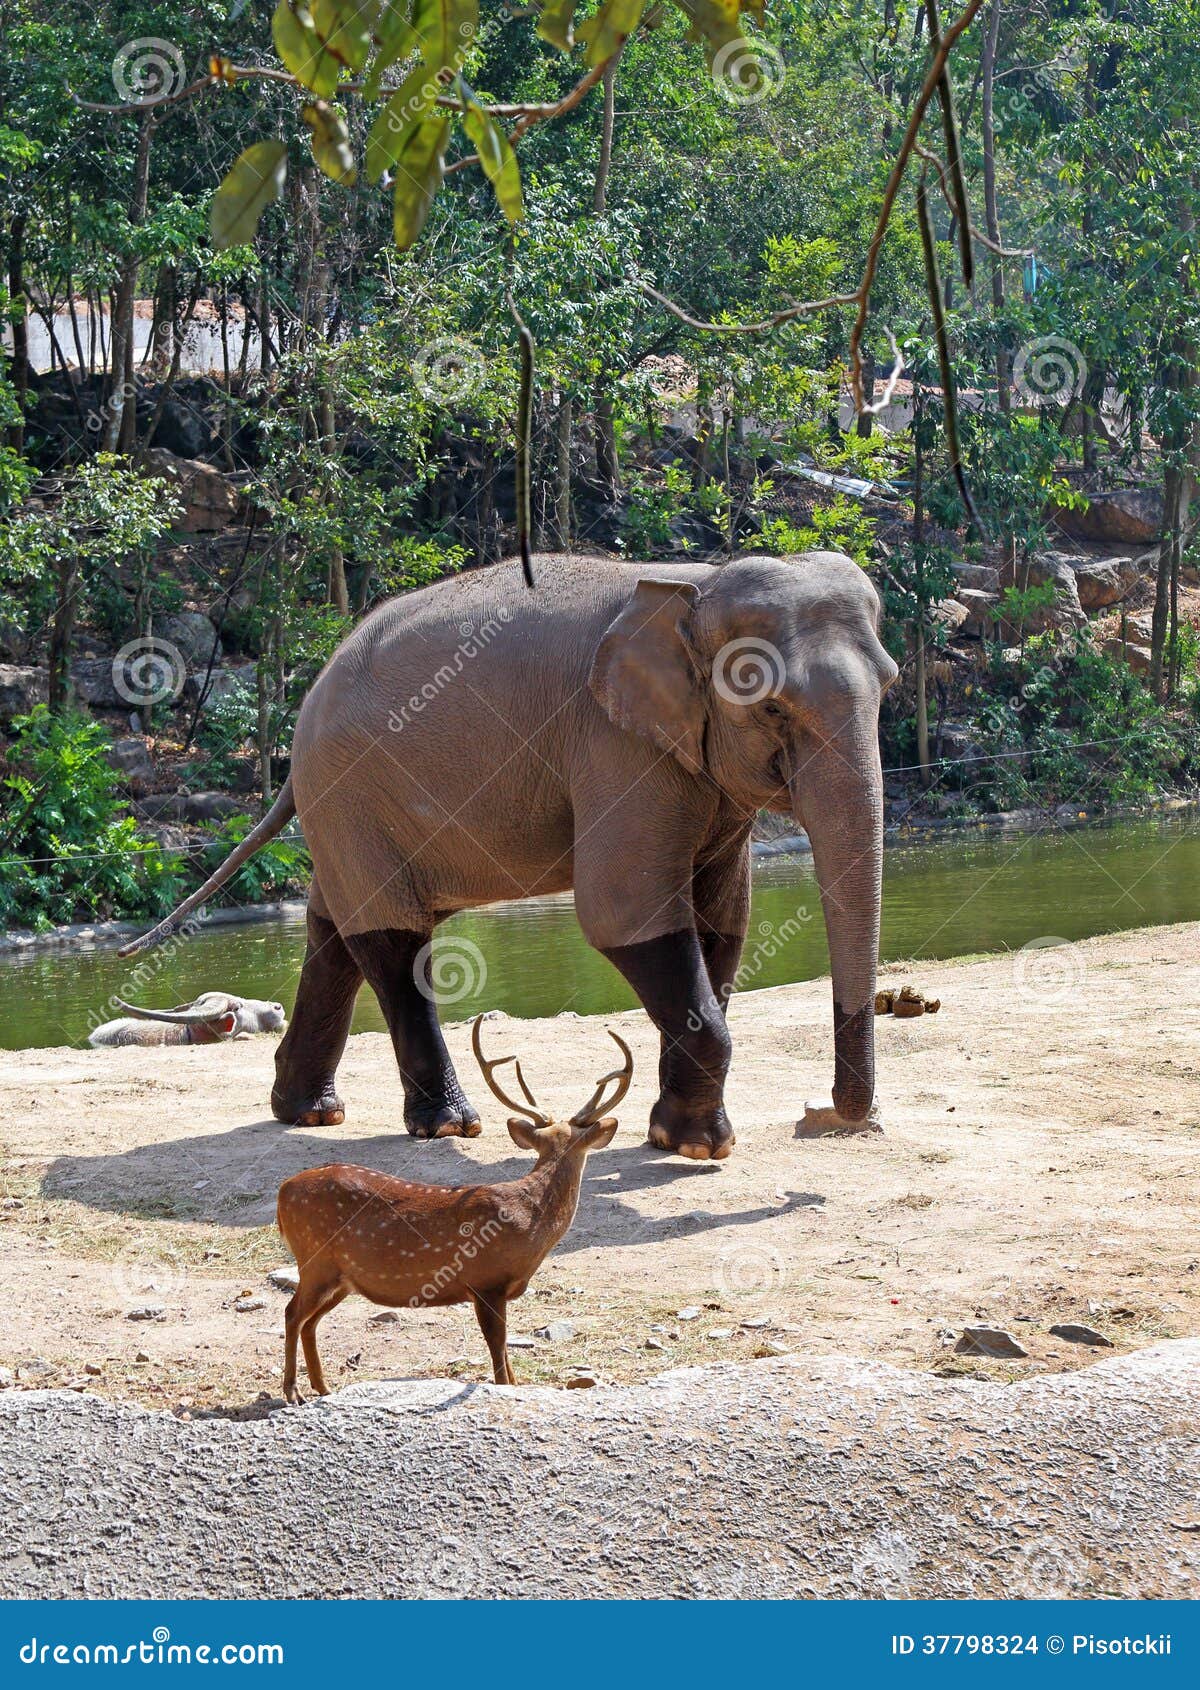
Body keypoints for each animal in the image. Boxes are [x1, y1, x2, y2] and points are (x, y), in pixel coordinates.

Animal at [123, 551, 897, 1160]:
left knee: (335, 928)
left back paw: (308, 1114)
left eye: (890, 687)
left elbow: (721, 922)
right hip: (349, 795)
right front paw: (701, 1149)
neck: (696, 585)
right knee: (389, 937)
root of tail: (300, 721)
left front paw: (674, 1140)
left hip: (344, 809)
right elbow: (622, 914)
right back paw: (447, 1128)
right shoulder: (617, 749)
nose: (830, 1116)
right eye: (772, 707)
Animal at [275, 1015, 633, 1400]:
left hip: (340, 1277)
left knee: (310, 1321)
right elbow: (499, 1356)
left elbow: (507, 1361)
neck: (529, 1220)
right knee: (292, 1314)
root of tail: (282, 1192)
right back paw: (293, 1391)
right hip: (315, 1259)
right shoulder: (486, 1281)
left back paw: (323, 1387)